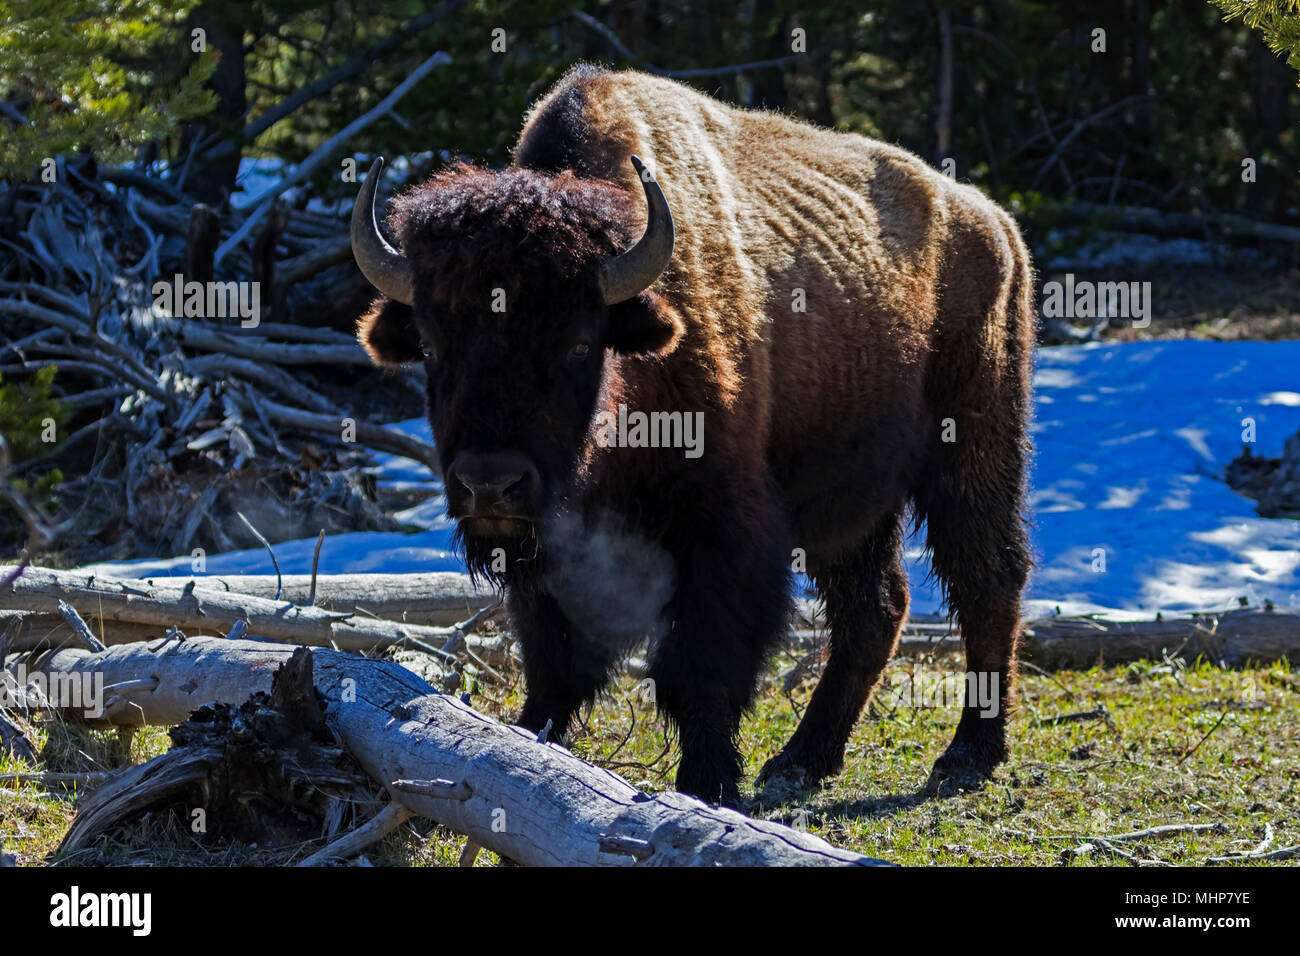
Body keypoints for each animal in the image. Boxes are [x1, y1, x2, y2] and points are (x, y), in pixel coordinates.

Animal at [352, 65, 1034, 807]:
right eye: (430, 343)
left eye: (579, 341)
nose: (490, 483)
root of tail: (996, 224)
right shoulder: (553, 551)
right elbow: (555, 657)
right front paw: (527, 742)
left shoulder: (724, 526)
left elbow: (697, 667)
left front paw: (706, 785)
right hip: (853, 503)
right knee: (876, 608)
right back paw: (802, 759)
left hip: (973, 451)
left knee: (987, 581)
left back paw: (967, 755)